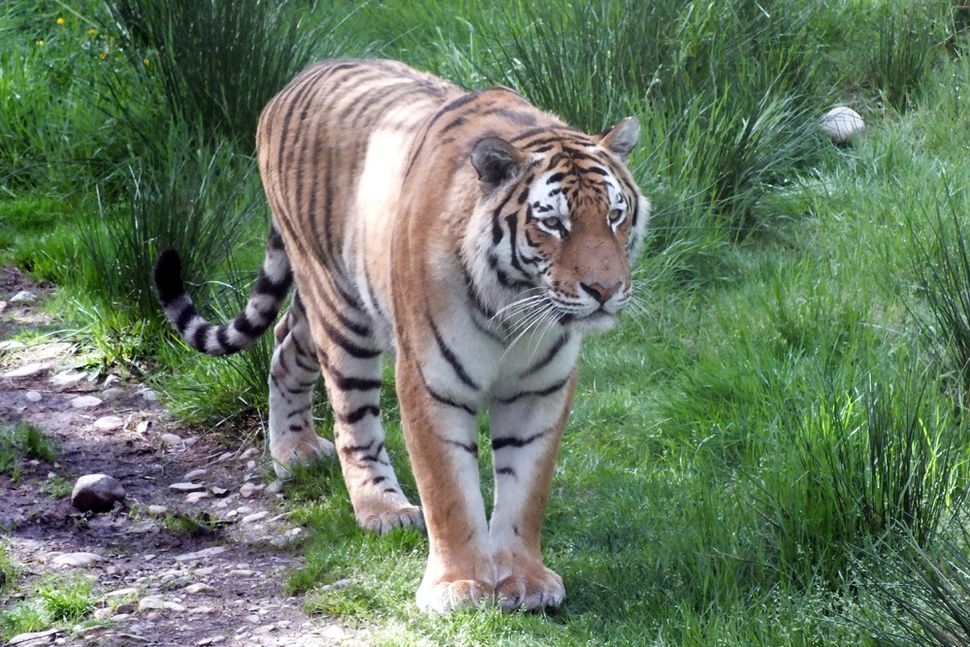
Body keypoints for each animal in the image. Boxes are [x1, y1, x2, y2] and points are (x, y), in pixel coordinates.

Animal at [154, 59, 650, 613]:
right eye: (553, 223)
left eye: (614, 215)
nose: (606, 290)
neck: (515, 308)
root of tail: (296, 80)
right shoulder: (430, 381)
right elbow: (448, 491)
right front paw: (458, 586)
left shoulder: (541, 389)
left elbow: (527, 490)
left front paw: (525, 580)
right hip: (343, 315)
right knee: (353, 423)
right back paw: (382, 508)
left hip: (322, 304)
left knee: (283, 345)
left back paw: (294, 450)